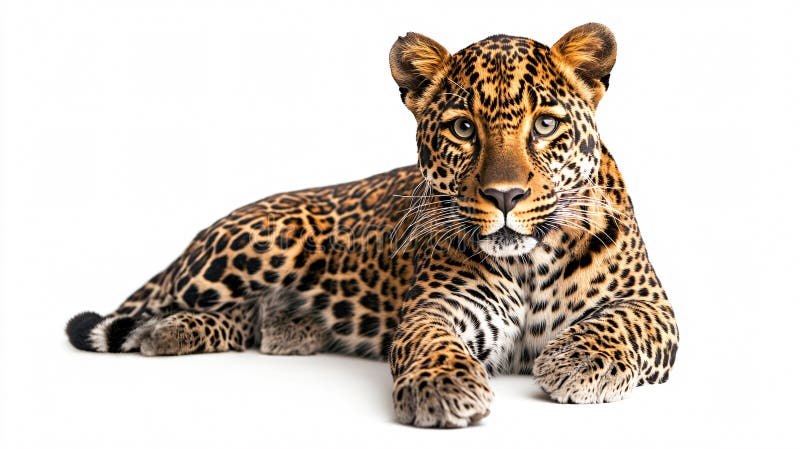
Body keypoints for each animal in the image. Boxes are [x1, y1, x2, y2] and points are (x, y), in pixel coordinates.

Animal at [66, 23, 679, 428]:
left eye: (546, 125)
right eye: (462, 128)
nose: (505, 196)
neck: (528, 259)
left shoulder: (652, 305)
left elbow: (618, 324)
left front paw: (577, 362)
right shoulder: (437, 307)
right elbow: (428, 340)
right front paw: (442, 386)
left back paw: (283, 329)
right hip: (261, 245)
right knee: (162, 303)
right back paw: (168, 330)